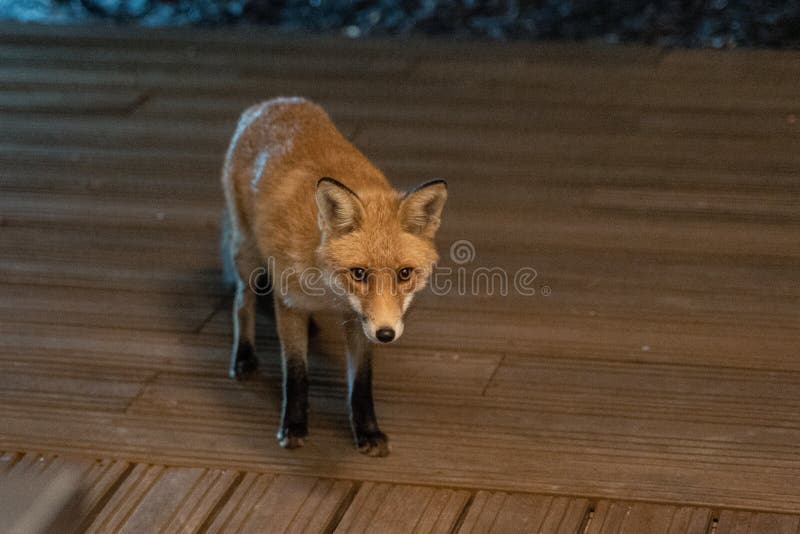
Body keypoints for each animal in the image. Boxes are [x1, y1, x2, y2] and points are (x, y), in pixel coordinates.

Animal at [220, 97, 447, 456]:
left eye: (404, 274)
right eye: (359, 273)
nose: (386, 334)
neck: (329, 290)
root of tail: (272, 103)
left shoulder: (359, 321)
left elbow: (361, 383)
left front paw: (368, 432)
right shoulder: (289, 303)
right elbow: (296, 373)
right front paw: (293, 426)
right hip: (247, 254)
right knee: (243, 301)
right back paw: (243, 357)